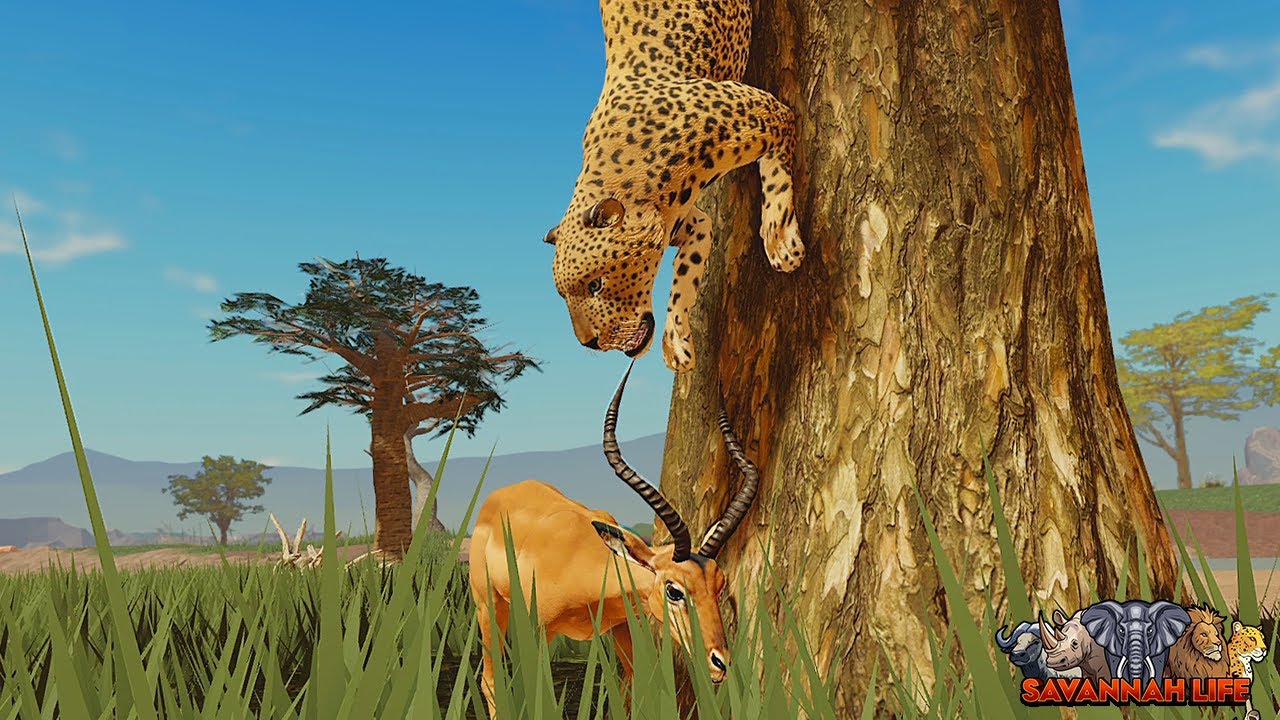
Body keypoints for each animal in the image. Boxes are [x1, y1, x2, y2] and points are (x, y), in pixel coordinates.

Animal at [544, 0, 804, 373]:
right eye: (563, 295)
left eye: (595, 284)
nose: (588, 342)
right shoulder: (689, 222)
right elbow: (687, 273)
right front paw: (676, 340)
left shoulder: (768, 110)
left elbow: (775, 165)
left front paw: (780, 239)